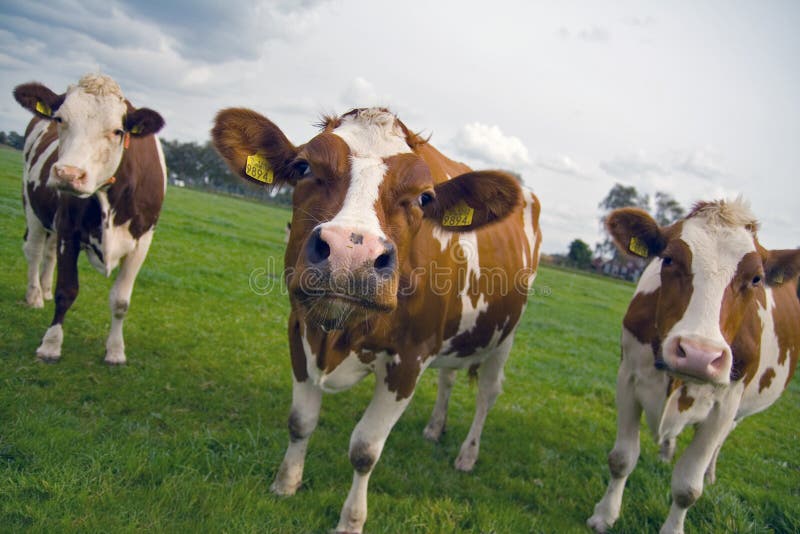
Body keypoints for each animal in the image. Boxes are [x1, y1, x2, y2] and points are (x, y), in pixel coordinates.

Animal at [14, 73, 166, 364]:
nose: (68, 174)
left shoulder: (142, 242)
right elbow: (66, 291)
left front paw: (115, 351)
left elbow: (121, 301)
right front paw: (51, 345)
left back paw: (44, 290)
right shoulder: (68, 230)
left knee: (47, 253)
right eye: (60, 119)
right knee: (34, 250)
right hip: (32, 206)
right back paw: (35, 296)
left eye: (118, 131)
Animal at [211, 107, 541, 533]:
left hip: (505, 334)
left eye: (424, 197)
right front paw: (285, 483)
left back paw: (467, 455)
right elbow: (300, 421)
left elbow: (365, 449)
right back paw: (434, 428)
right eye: (303, 167)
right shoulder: (298, 328)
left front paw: (351, 520)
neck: (336, 340)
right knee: (449, 378)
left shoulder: (410, 359)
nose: (351, 254)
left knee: (487, 392)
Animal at [588, 199, 799, 534]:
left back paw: (710, 472)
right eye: (669, 259)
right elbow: (622, 459)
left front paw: (673, 527)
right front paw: (605, 515)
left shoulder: (726, 405)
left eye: (756, 279)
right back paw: (666, 451)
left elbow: (688, 487)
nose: (699, 355)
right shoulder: (628, 378)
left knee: (719, 445)